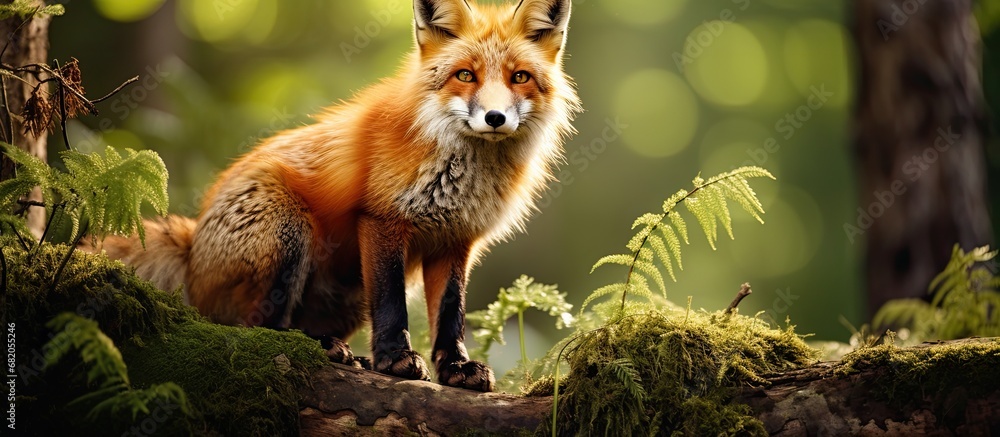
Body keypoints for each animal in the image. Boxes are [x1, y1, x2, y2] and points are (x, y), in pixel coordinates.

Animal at [90, 0, 580, 392]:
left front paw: (455, 369)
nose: (495, 118)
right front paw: (395, 361)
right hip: (289, 233)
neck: (462, 169)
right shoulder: (383, 220)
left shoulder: (456, 240)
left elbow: (450, 315)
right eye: (465, 75)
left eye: (519, 77)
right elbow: (392, 307)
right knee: (254, 329)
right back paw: (322, 348)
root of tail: (190, 246)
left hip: (347, 289)